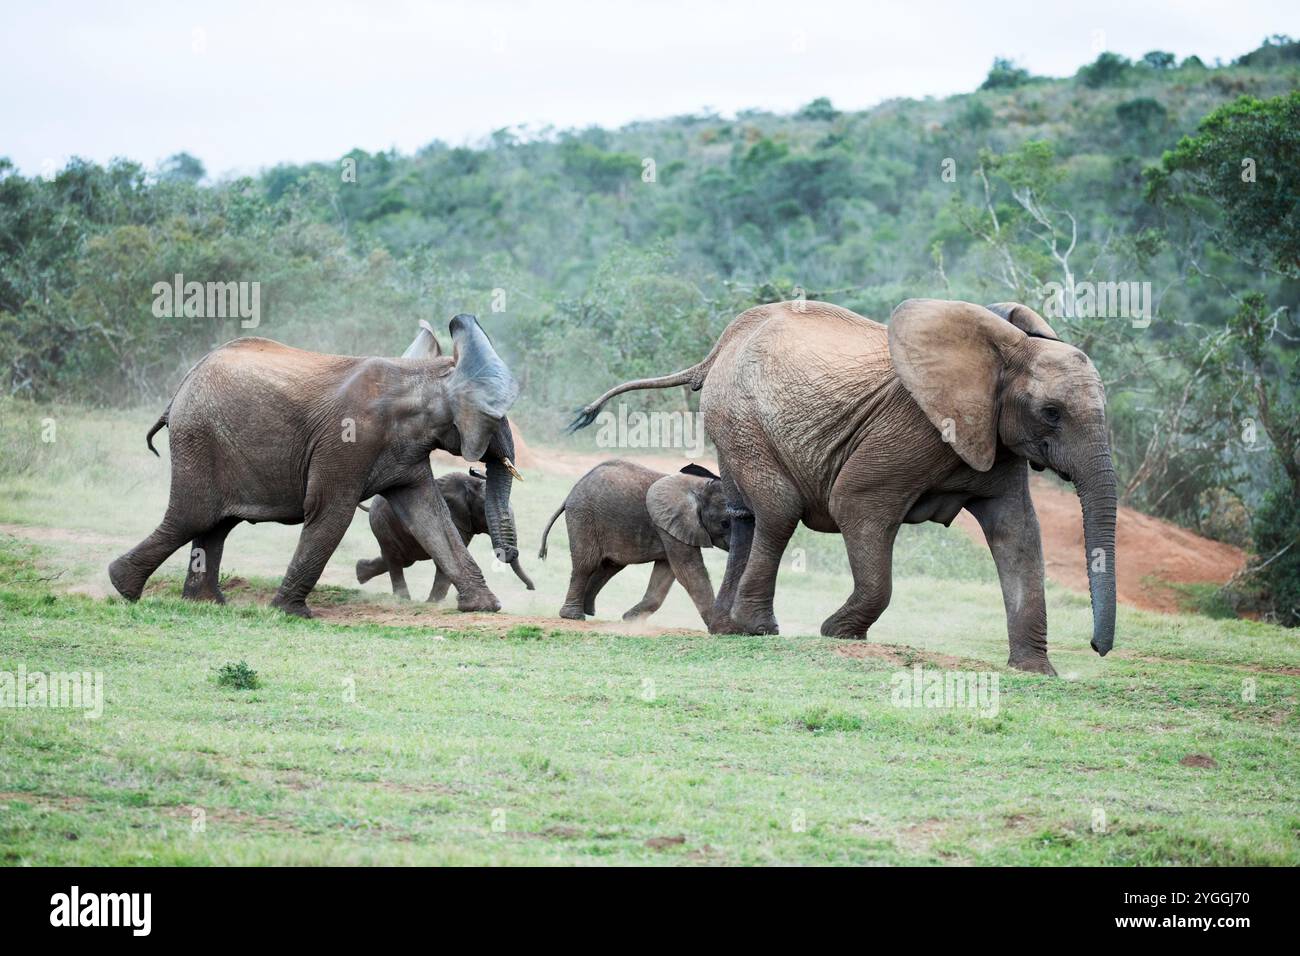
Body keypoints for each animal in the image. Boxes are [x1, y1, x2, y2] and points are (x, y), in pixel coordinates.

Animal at [356, 468, 536, 601]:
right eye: (486, 513)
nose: (531, 588)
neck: (469, 484)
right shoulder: (453, 516)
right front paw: (433, 604)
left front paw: (433, 603)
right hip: (382, 524)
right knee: (395, 558)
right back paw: (402, 599)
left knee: (403, 559)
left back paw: (360, 573)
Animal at [537, 459, 730, 627]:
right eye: (724, 523)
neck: (698, 486)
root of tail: (571, 492)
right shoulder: (669, 523)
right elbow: (689, 570)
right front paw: (717, 625)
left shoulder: (671, 527)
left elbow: (667, 572)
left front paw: (630, 619)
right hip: (583, 516)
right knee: (587, 564)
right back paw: (573, 616)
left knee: (608, 566)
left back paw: (589, 611)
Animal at [571, 299, 1117, 675]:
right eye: (1051, 412)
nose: (1097, 648)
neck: (1002, 348)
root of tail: (718, 349)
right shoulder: (914, 428)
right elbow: (856, 505)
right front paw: (838, 634)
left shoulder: (995, 438)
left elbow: (1018, 533)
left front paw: (1036, 672)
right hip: (740, 418)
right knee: (778, 511)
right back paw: (758, 629)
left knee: (747, 516)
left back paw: (729, 628)